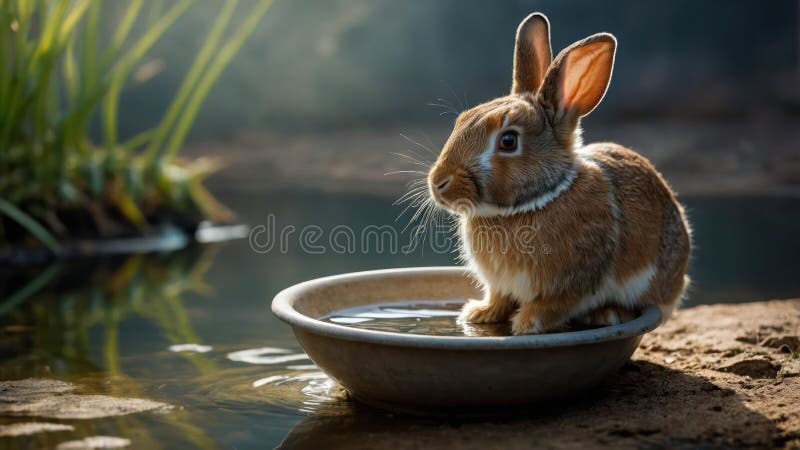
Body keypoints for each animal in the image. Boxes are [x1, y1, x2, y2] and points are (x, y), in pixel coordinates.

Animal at [426, 12, 691, 335]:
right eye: (462, 120)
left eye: (508, 141)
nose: (438, 183)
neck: (534, 202)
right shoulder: (500, 284)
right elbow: (499, 298)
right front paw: (478, 314)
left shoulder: (573, 283)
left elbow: (550, 307)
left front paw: (525, 324)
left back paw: (608, 314)